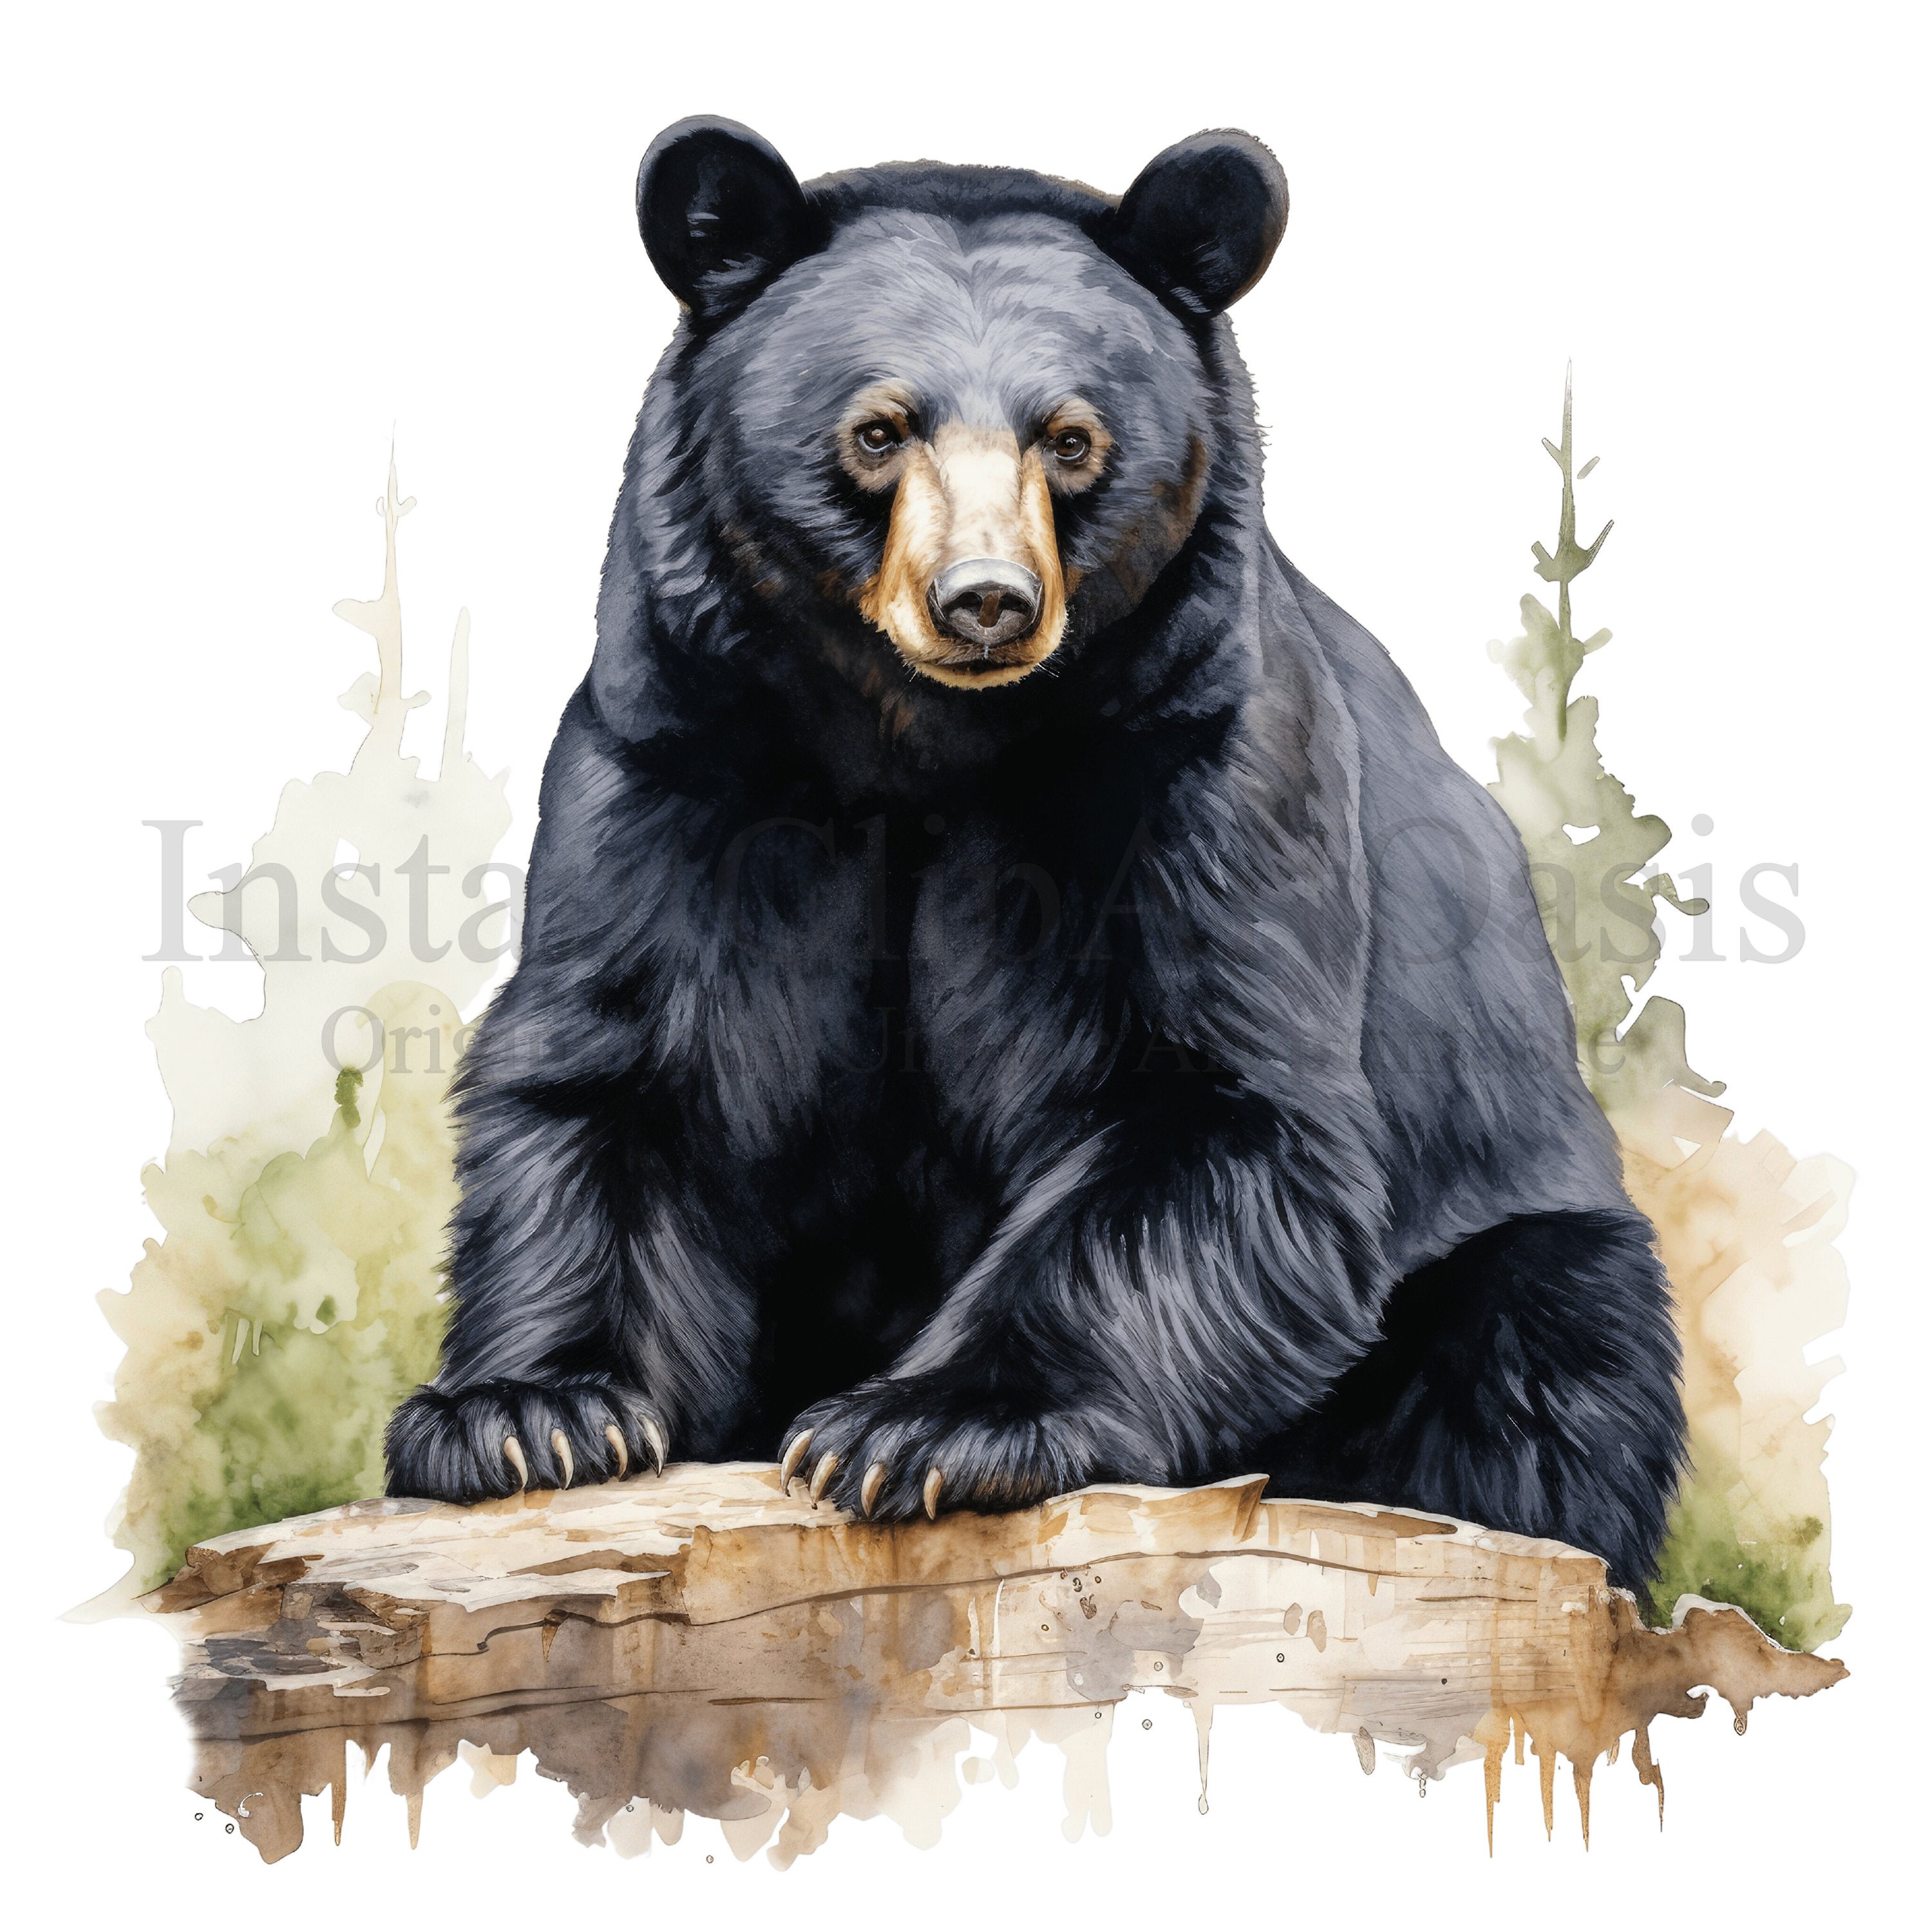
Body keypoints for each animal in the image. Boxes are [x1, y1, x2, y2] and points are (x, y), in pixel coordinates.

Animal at [384, 117, 1685, 1589]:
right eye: (878, 429)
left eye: (1070, 438)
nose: (987, 600)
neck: (924, 748)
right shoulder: (687, 750)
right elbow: (624, 1073)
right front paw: (524, 1414)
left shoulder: (1200, 767)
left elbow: (1214, 1110)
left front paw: (924, 1426)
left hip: (1520, 1244)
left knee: (1531, 1385)